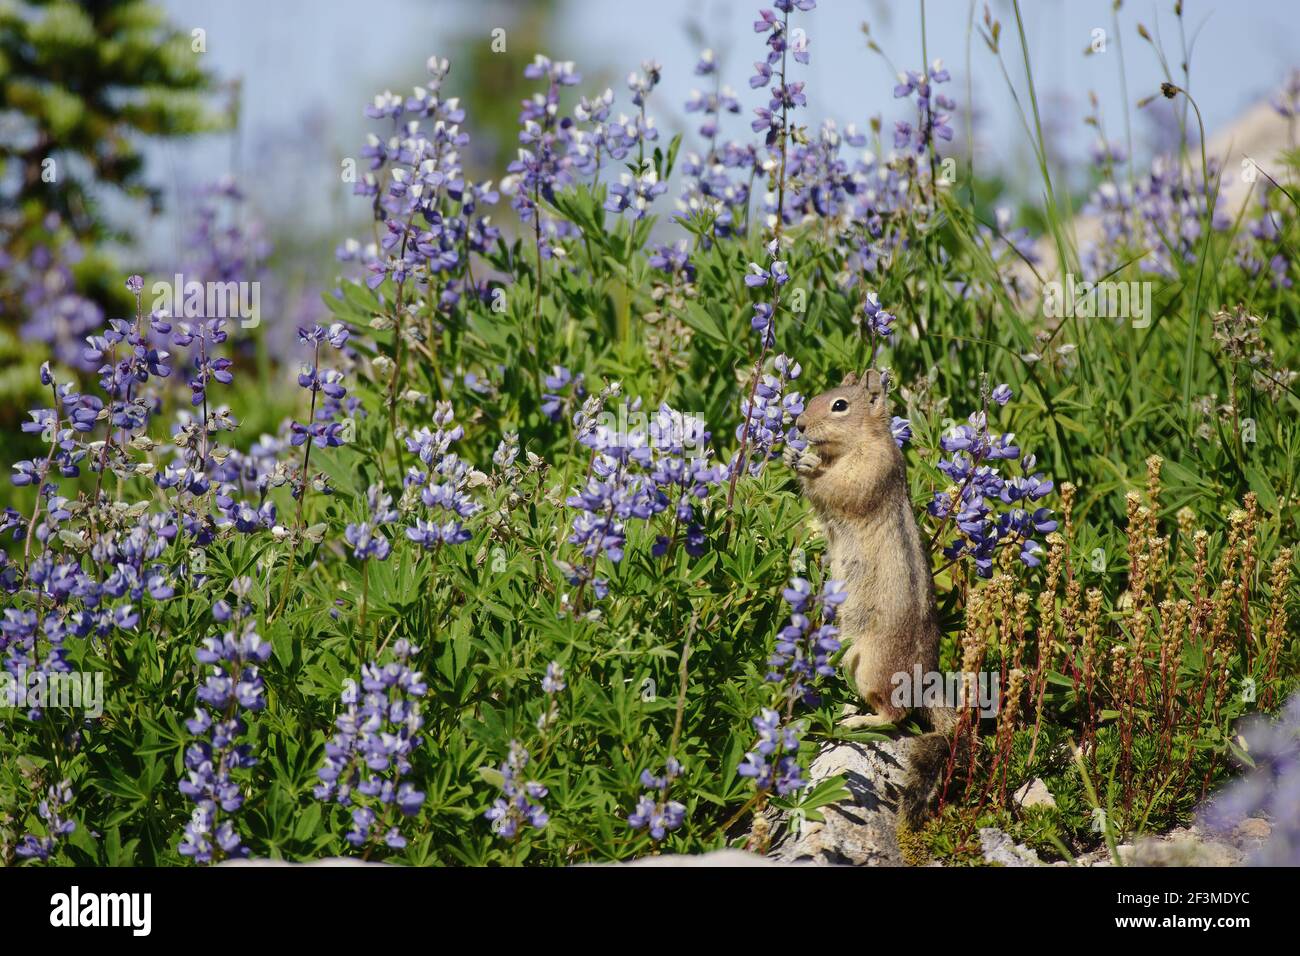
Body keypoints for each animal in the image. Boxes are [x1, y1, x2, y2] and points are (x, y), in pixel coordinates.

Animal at [783, 368, 958, 827]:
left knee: (896, 716)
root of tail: (925, 680)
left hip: (870, 667)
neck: (856, 443)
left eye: (839, 405)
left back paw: (858, 721)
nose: (798, 426)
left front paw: (805, 463)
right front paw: (796, 455)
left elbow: (836, 487)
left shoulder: (869, 471)